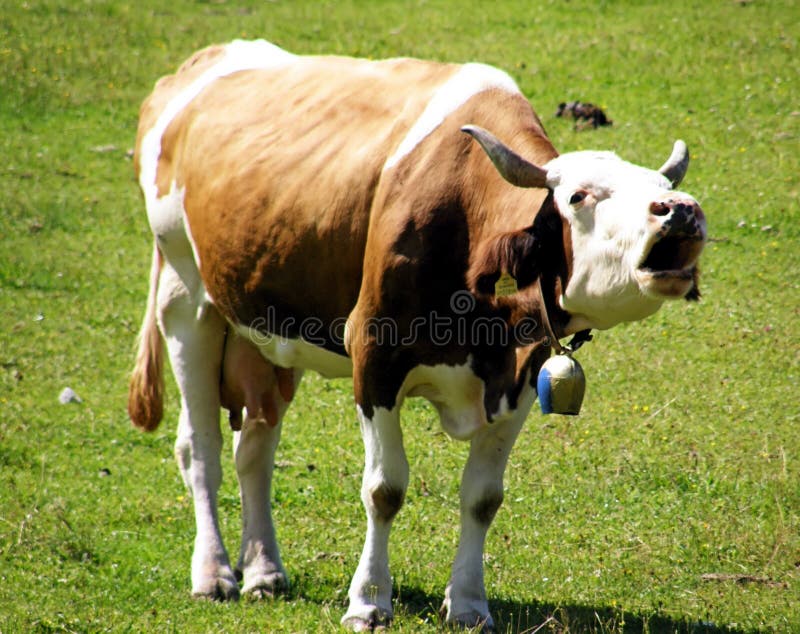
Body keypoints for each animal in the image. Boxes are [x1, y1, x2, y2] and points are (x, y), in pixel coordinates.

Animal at [128, 39, 706, 630]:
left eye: (666, 188)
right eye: (579, 196)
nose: (682, 210)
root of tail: (200, 65)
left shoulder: (521, 371)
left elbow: (483, 497)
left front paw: (470, 603)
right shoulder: (375, 357)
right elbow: (384, 489)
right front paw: (368, 601)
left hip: (265, 327)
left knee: (255, 449)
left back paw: (264, 573)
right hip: (186, 298)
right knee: (200, 446)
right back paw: (214, 573)